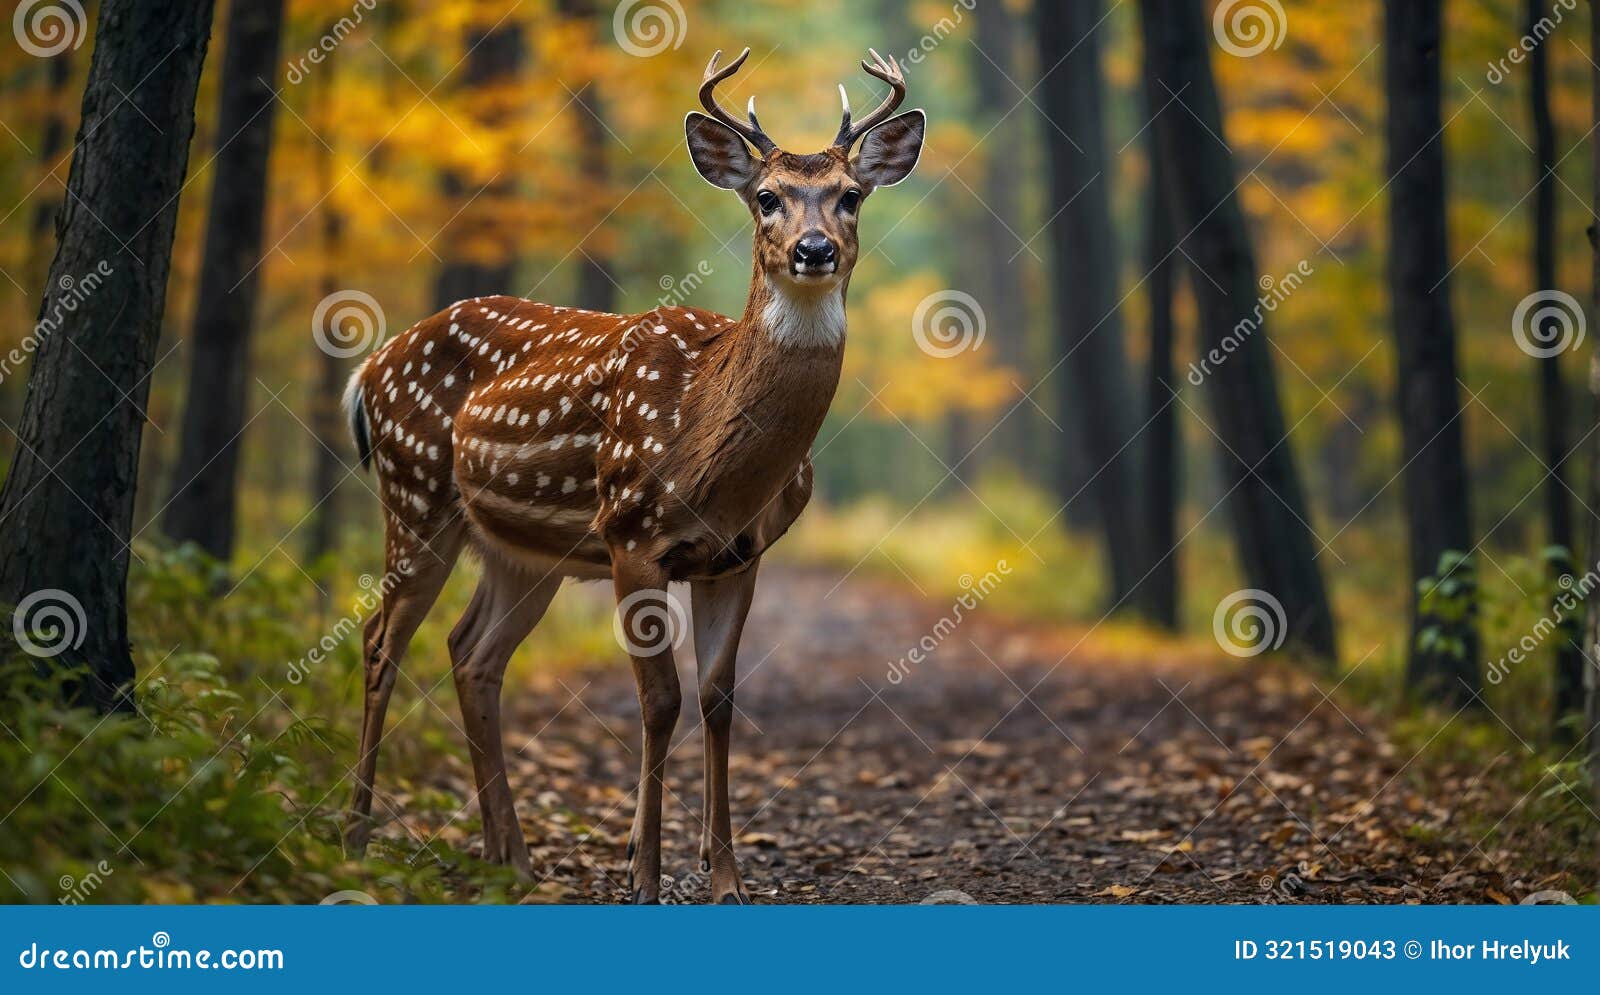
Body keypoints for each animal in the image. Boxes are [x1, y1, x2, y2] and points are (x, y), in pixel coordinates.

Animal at [340, 48, 923, 903]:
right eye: (767, 197)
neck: (714, 446)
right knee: (382, 639)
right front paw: (641, 872)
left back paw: (509, 857)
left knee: (471, 652)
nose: (814, 250)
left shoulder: (738, 555)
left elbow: (717, 697)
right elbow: (660, 701)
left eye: (851, 196)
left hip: (524, 551)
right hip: (414, 496)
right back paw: (354, 837)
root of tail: (370, 366)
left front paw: (726, 878)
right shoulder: (630, 536)